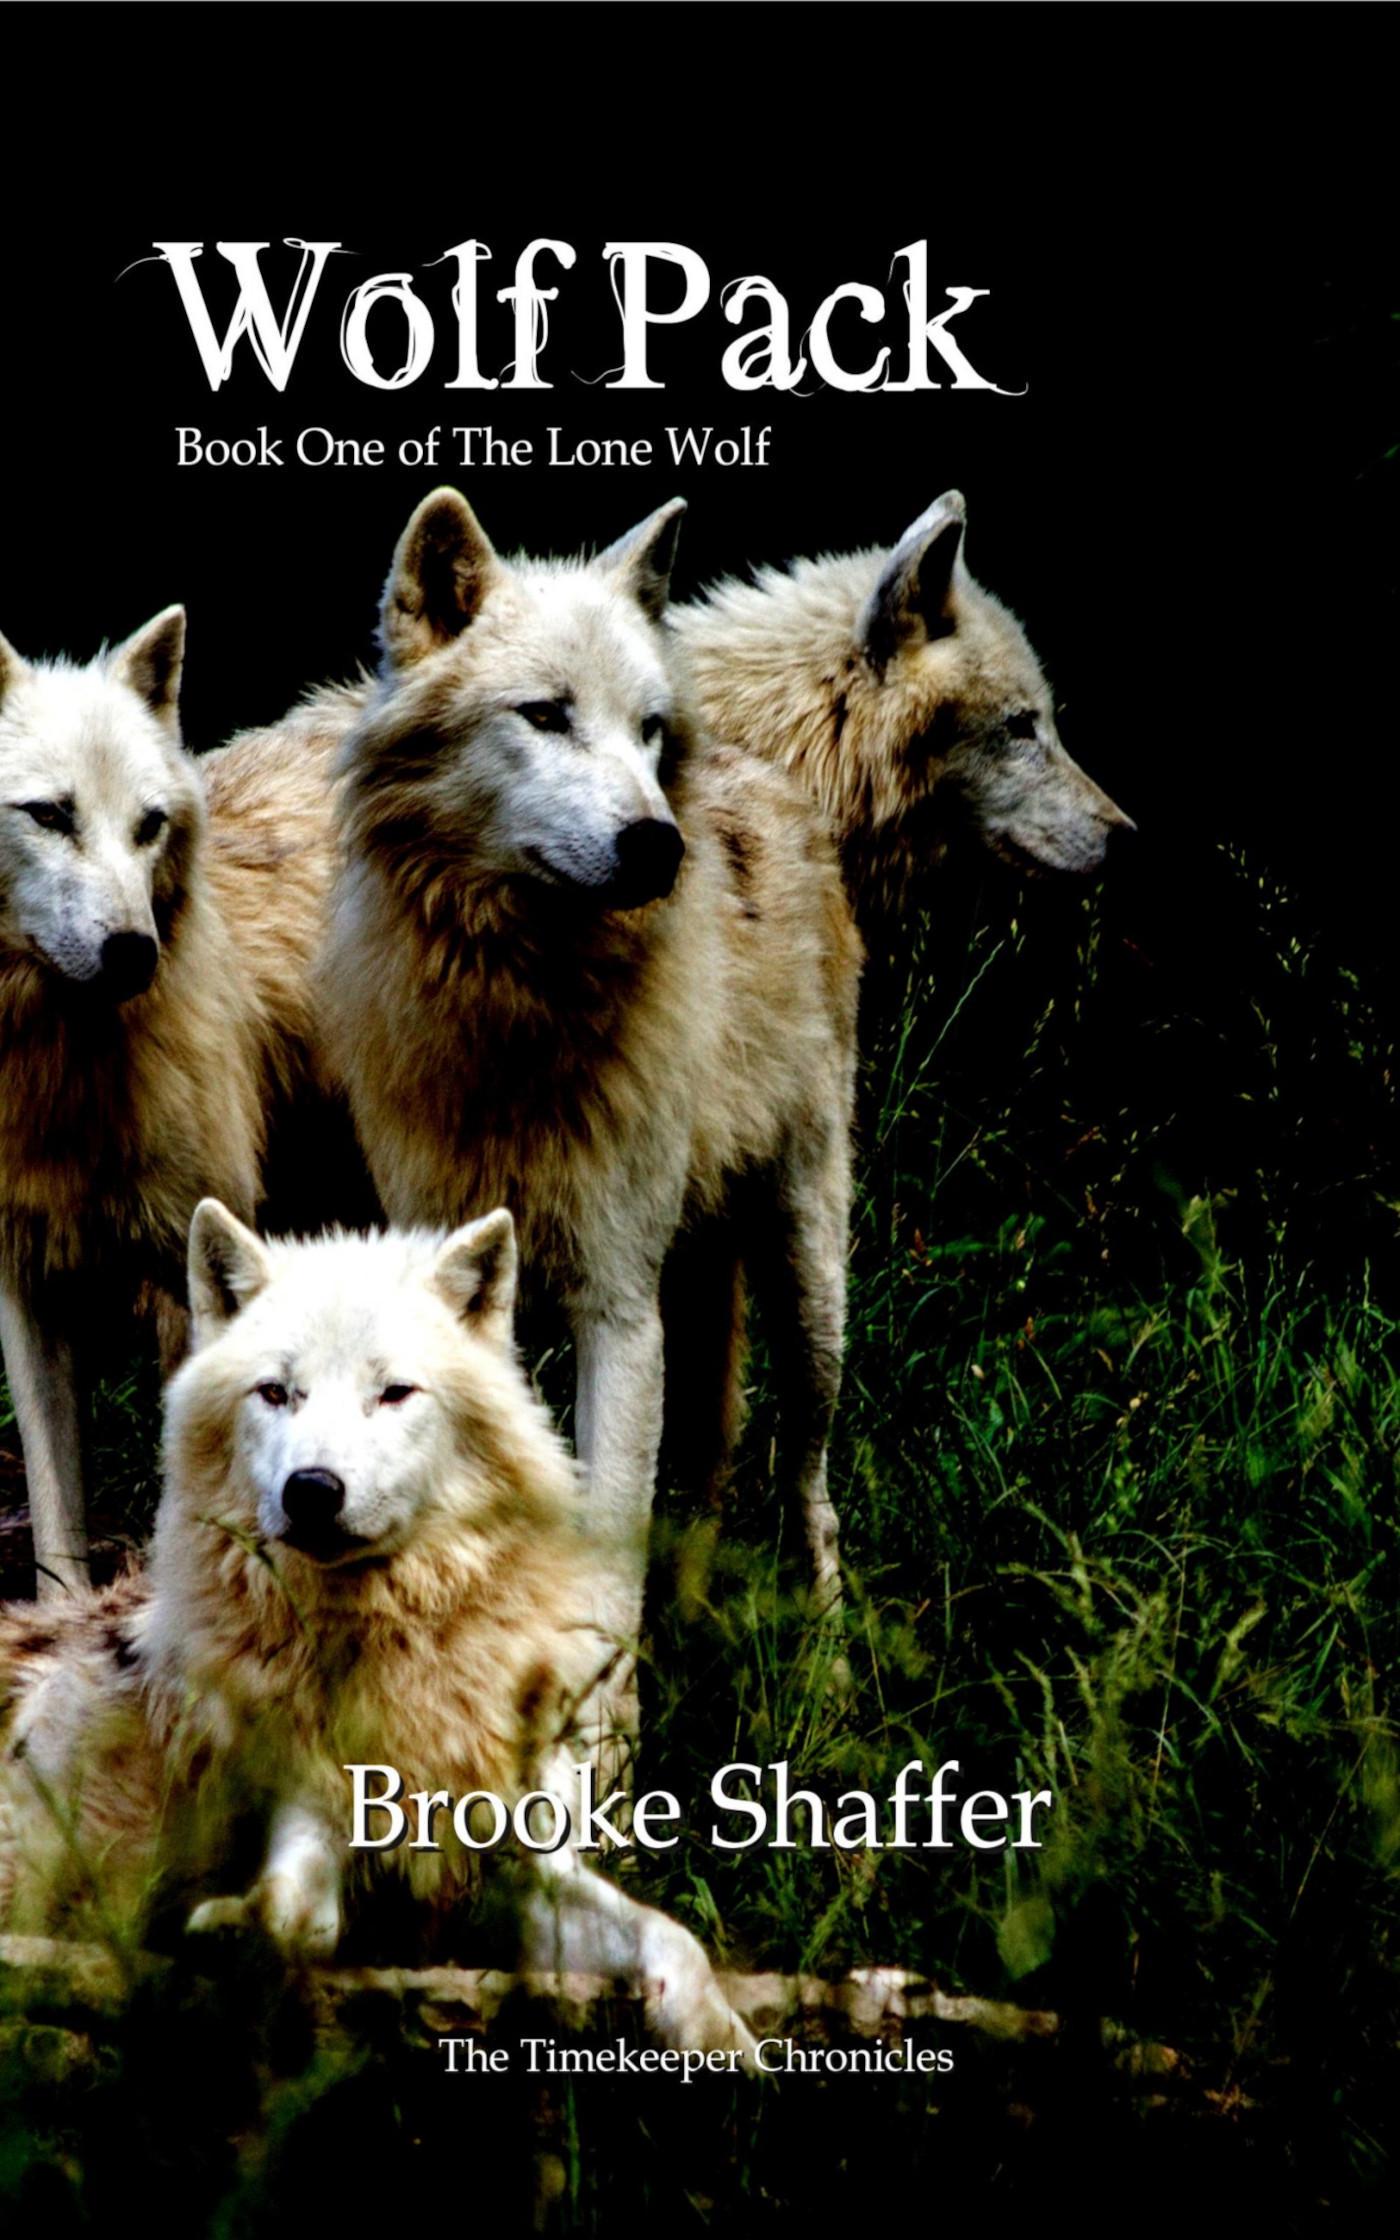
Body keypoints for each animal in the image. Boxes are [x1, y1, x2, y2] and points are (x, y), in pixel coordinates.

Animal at [0, 611, 330, 1598]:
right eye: (49, 814)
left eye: (148, 826)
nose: (132, 954)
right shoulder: (28, 1289)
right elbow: (55, 1519)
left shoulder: (191, 1280)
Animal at [0, 1204, 755, 2058]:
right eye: (276, 1393)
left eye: (394, 1393)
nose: (312, 1490)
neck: (400, 1656)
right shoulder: (308, 1814)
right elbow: (296, 1911)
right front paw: (241, 1933)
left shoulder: (529, 1875)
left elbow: (672, 1938)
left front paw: (727, 2043)